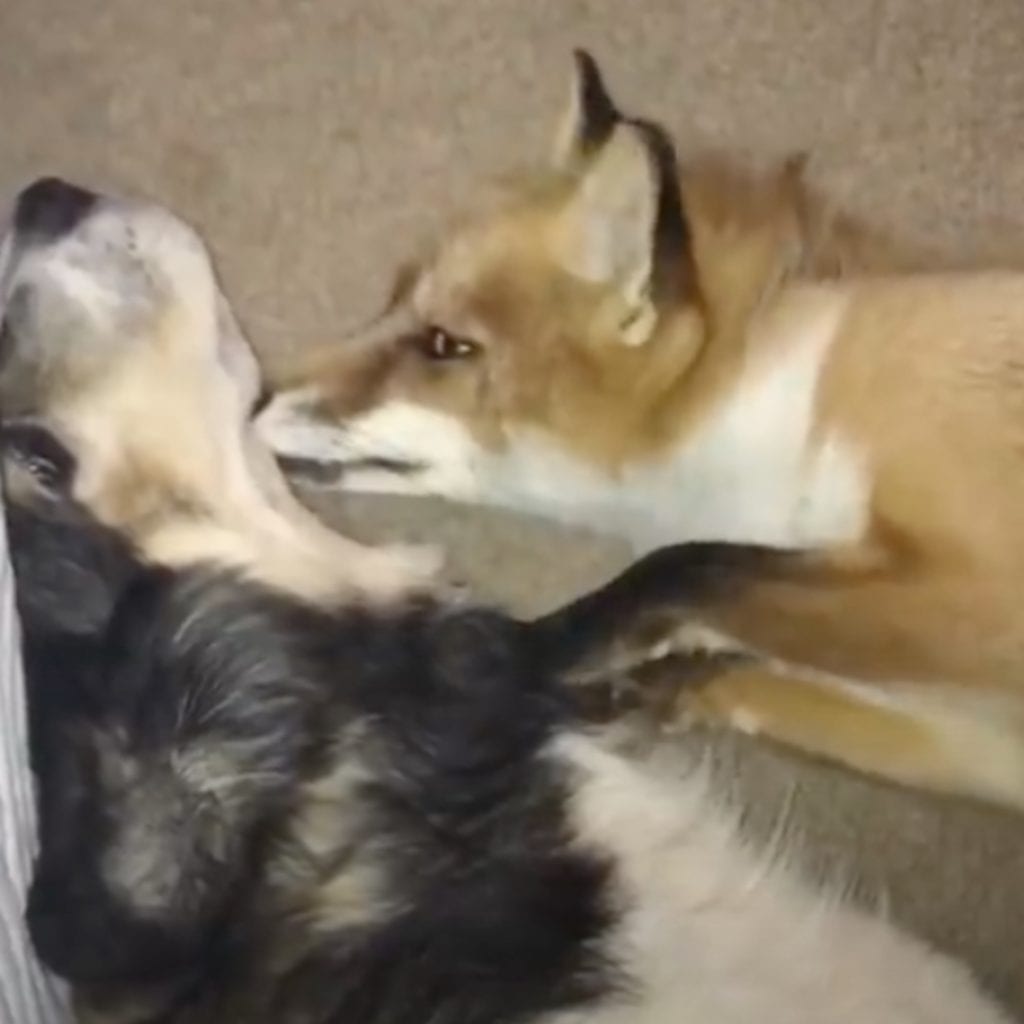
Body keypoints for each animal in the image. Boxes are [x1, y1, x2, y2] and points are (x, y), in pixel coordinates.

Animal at [257, 51, 1024, 812]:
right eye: (388, 305)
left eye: (445, 345)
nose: (250, 395)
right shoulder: (972, 740)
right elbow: (719, 669)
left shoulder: (980, 583)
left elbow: (681, 568)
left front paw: (510, 654)